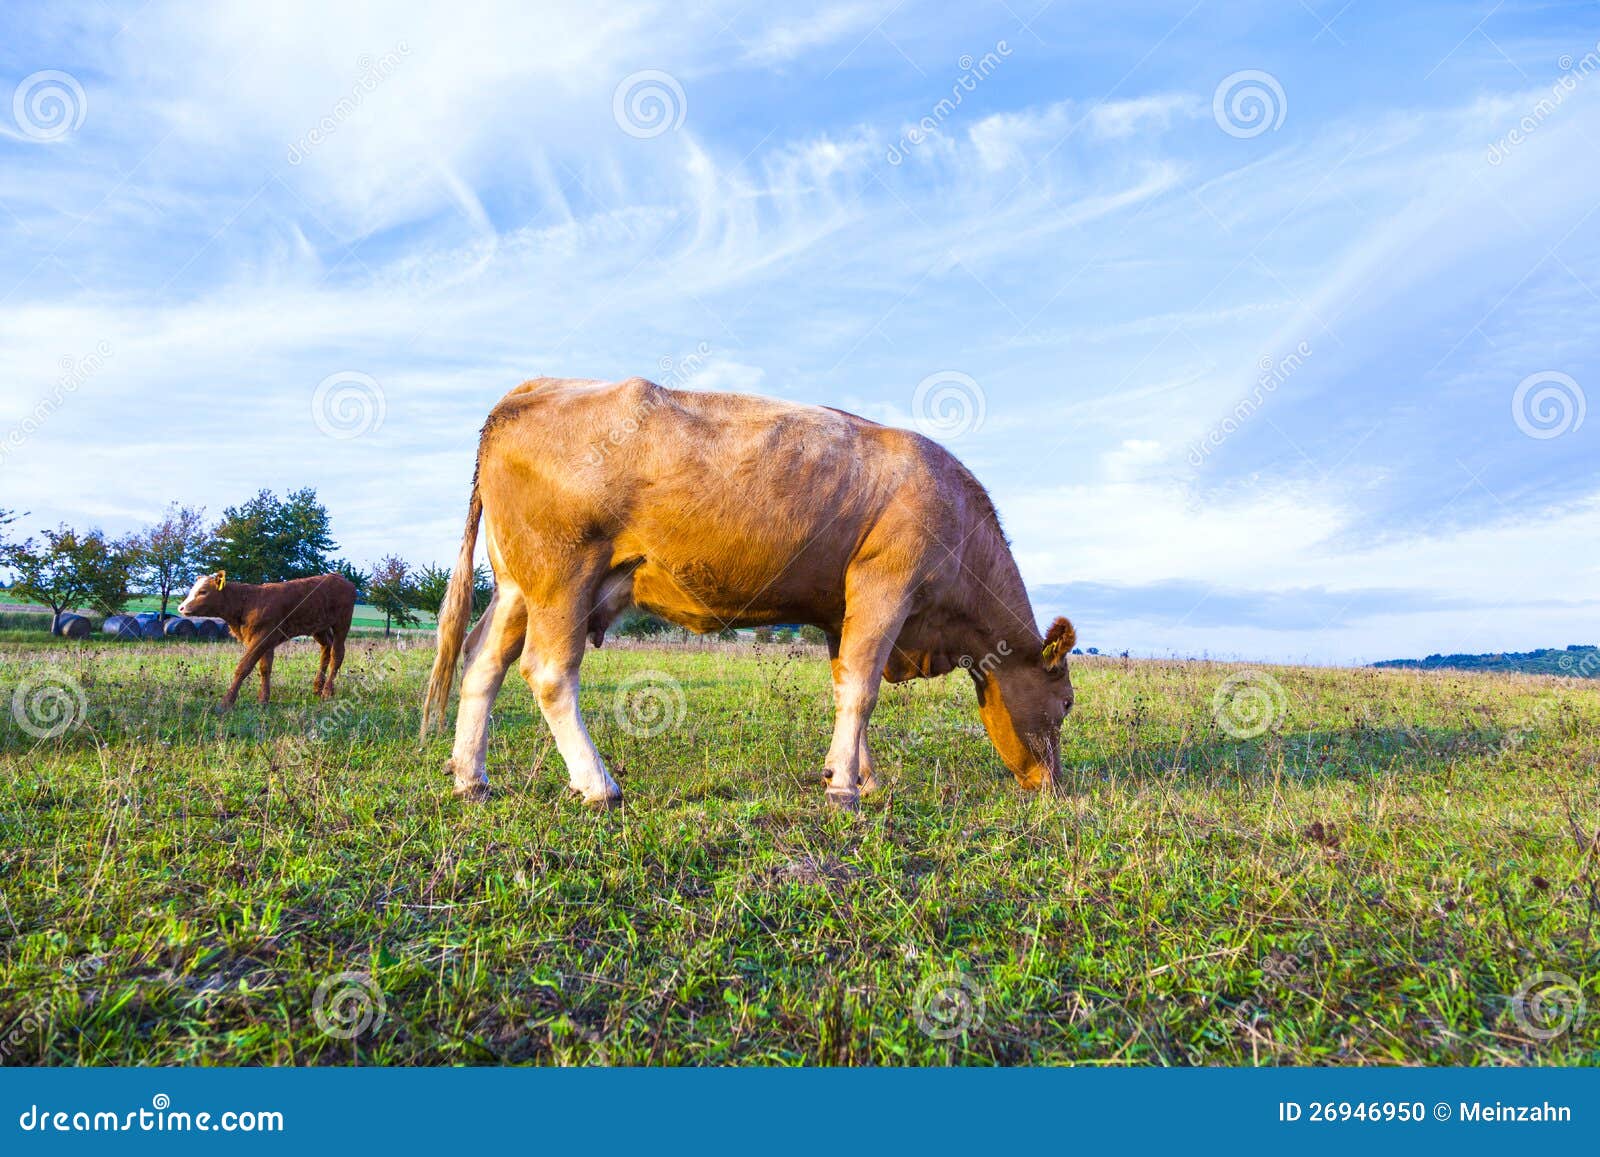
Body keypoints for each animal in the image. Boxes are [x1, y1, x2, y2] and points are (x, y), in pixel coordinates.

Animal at [178, 572, 358, 709]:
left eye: (203, 591)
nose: (181, 607)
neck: (247, 601)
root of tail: (339, 577)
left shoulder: (262, 637)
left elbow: (244, 667)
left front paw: (226, 702)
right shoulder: (266, 639)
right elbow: (265, 668)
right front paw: (263, 699)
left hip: (342, 622)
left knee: (337, 654)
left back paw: (327, 691)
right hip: (319, 627)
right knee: (326, 649)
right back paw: (317, 688)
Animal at [420, 377, 1076, 810]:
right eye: (1067, 703)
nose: (1052, 784)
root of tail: (528, 391)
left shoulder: (840, 610)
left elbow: (846, 683)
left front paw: (857, 774)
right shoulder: (885, 582)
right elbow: (863, 688)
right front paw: (845, 790)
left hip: (516, 586)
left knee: (483, 663)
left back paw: (471, 778)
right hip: (564, 576)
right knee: (549, 671)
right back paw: (599, 786)